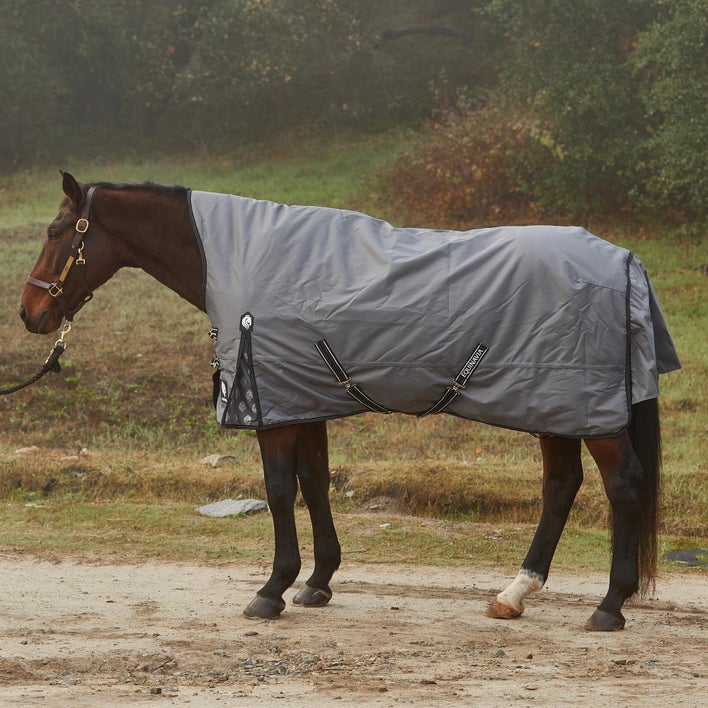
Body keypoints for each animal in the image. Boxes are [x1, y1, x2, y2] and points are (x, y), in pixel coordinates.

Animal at [20, 172, 680, 631]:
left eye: (55, 233)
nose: (30, 313)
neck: (243, 256)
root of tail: (623, 260)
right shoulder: (301, 401)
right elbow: (315, 484)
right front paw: (317, 581)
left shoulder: (274, 409)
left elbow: (279, 490)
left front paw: (272, 589)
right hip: (555, 407)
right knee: (561, 486)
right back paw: (514, 594)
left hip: (585, 412)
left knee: (622, 487)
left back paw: (610, 605)